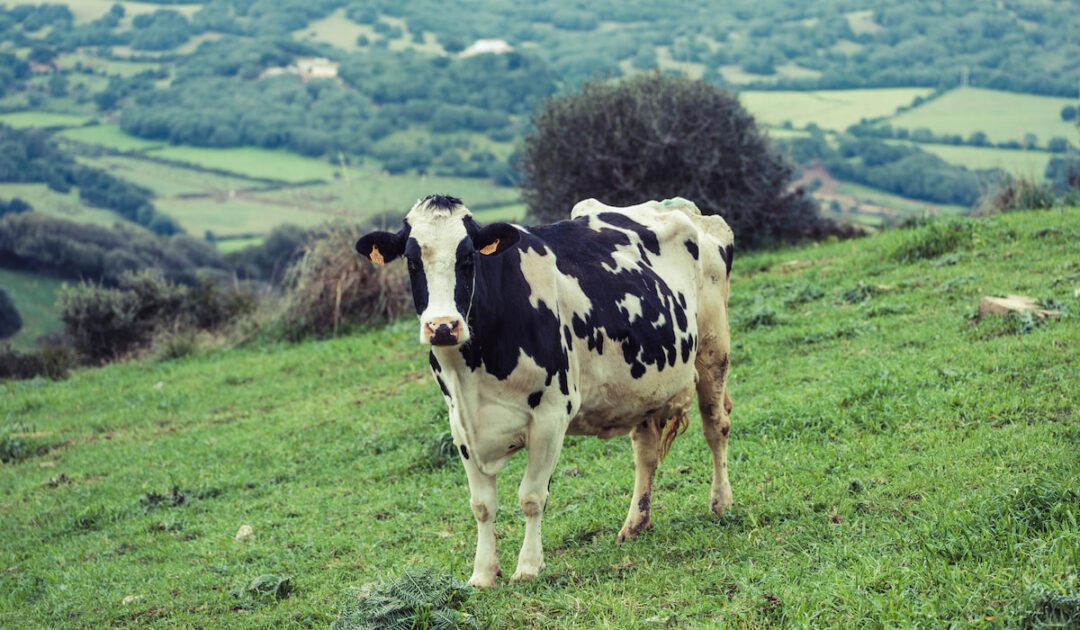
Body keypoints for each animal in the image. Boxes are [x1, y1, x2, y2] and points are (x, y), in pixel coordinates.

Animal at [355, 194, 734, 587]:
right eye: (412, 261)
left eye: (468, 258)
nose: (443, 327)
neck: (471, 372)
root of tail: (682, 208)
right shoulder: (460, 426)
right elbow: (481, 505)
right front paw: (483, 573)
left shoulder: (551, 415)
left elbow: (532, 496)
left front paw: (528, 566)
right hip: (644, 386)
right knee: (646, 452)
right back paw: (635, 524)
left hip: (713, 349)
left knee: (716, 427)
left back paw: (720, 502)